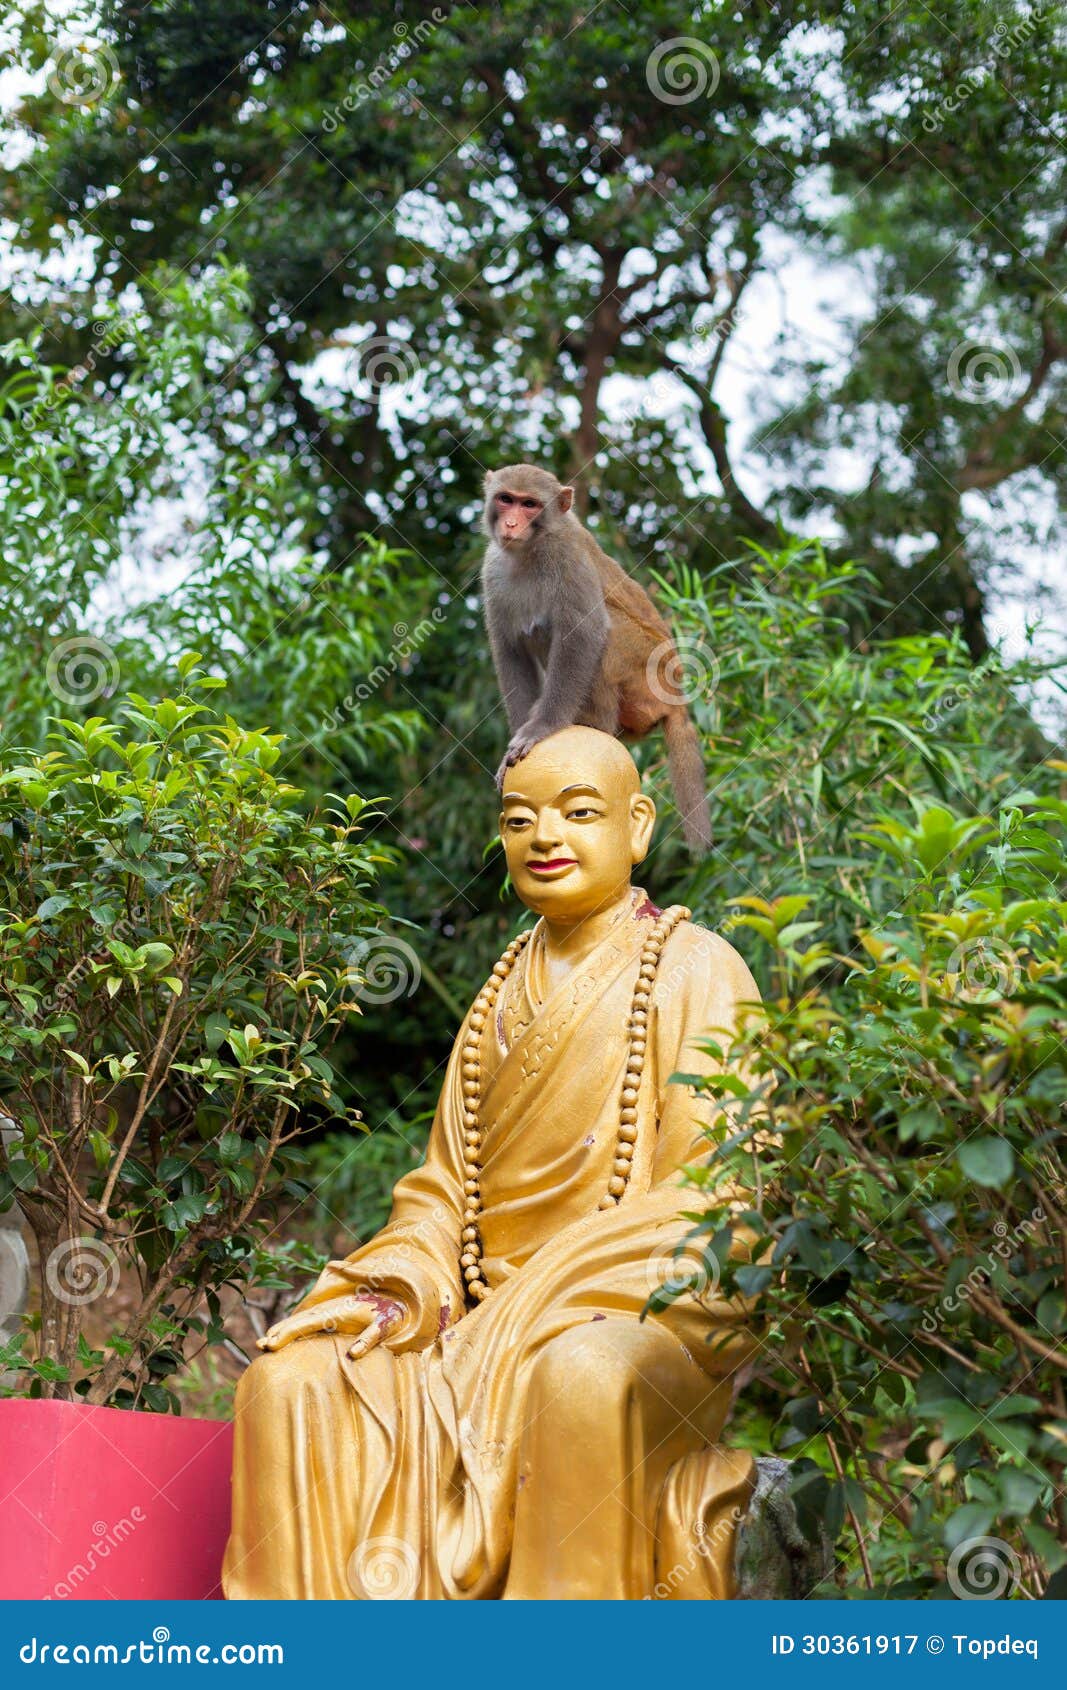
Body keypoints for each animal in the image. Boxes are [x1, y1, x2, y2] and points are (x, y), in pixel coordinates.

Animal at [480, 463, 712, 853]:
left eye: (530, 505)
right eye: (506, 499)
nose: (511, 524)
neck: (530, 551)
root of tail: (677, 695)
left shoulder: (568, 558)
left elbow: (584, 632)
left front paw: (540, 729)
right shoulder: (492, 569)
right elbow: (510, 652)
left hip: (649, 672)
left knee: (607, 634)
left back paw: (596, 728)